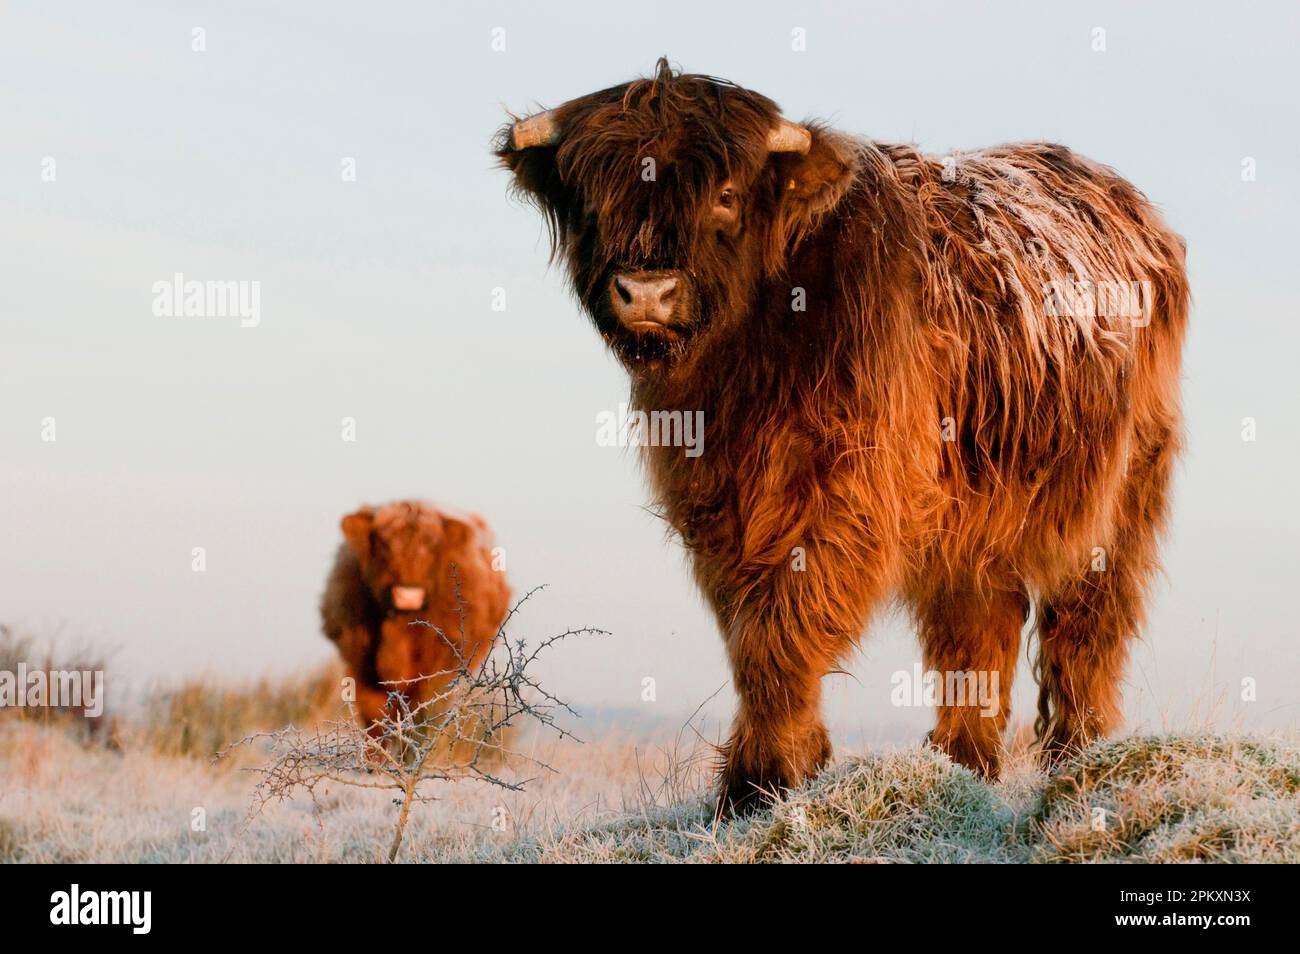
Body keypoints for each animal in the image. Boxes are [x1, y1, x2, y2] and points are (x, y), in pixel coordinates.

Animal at [320, 500, 510, 737]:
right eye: (383, 544)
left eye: (433, 545)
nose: (408, 596)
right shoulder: (362, 672)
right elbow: (376, 722)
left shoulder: (433, 674)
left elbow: (421, 716)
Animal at [497, 58, 1189, 815]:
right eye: (594, 197)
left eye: (726, 195)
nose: (646, 292)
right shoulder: (715, 503)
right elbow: (749, 630)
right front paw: (785, 766)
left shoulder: (847, 488)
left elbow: (786, 625)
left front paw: (763, 775)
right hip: (976, 512)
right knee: (978, 628)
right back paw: (963, 765)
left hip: (1121, 493)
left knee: (1087, 627)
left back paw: (1079, 756)